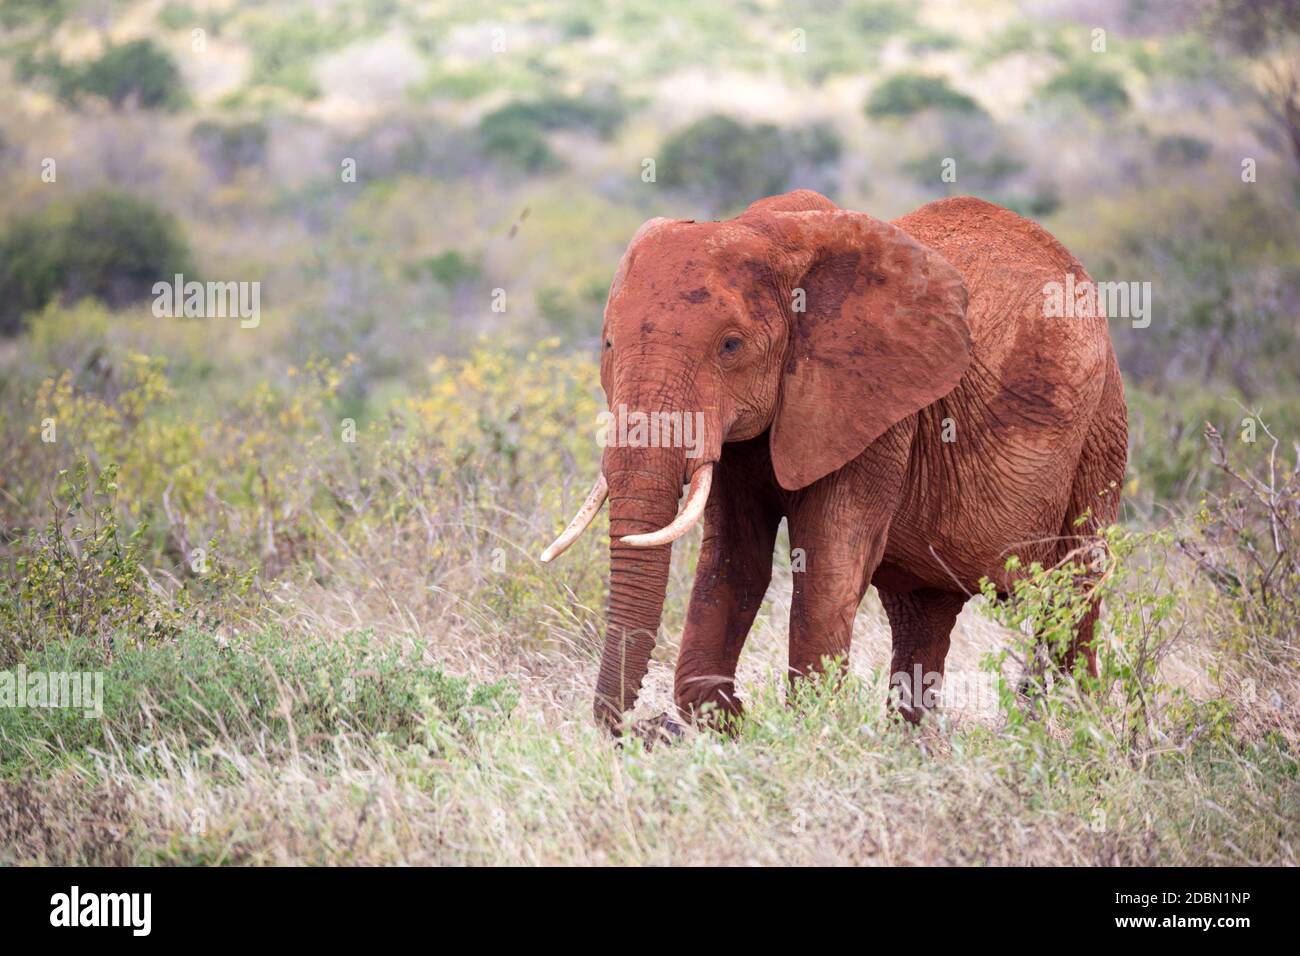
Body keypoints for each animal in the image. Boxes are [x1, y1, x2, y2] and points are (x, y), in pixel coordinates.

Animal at [541, 189, 1128, 733]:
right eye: (608, 343)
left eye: (731, 346)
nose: (636, 730)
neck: (769, 231)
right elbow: (734, 558)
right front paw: (726, 718)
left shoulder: (875, 406)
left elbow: (830, 559)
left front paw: (804, 731)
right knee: (923, 612)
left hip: (1101, 431)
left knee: (1073, 588)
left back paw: (1064, 729)